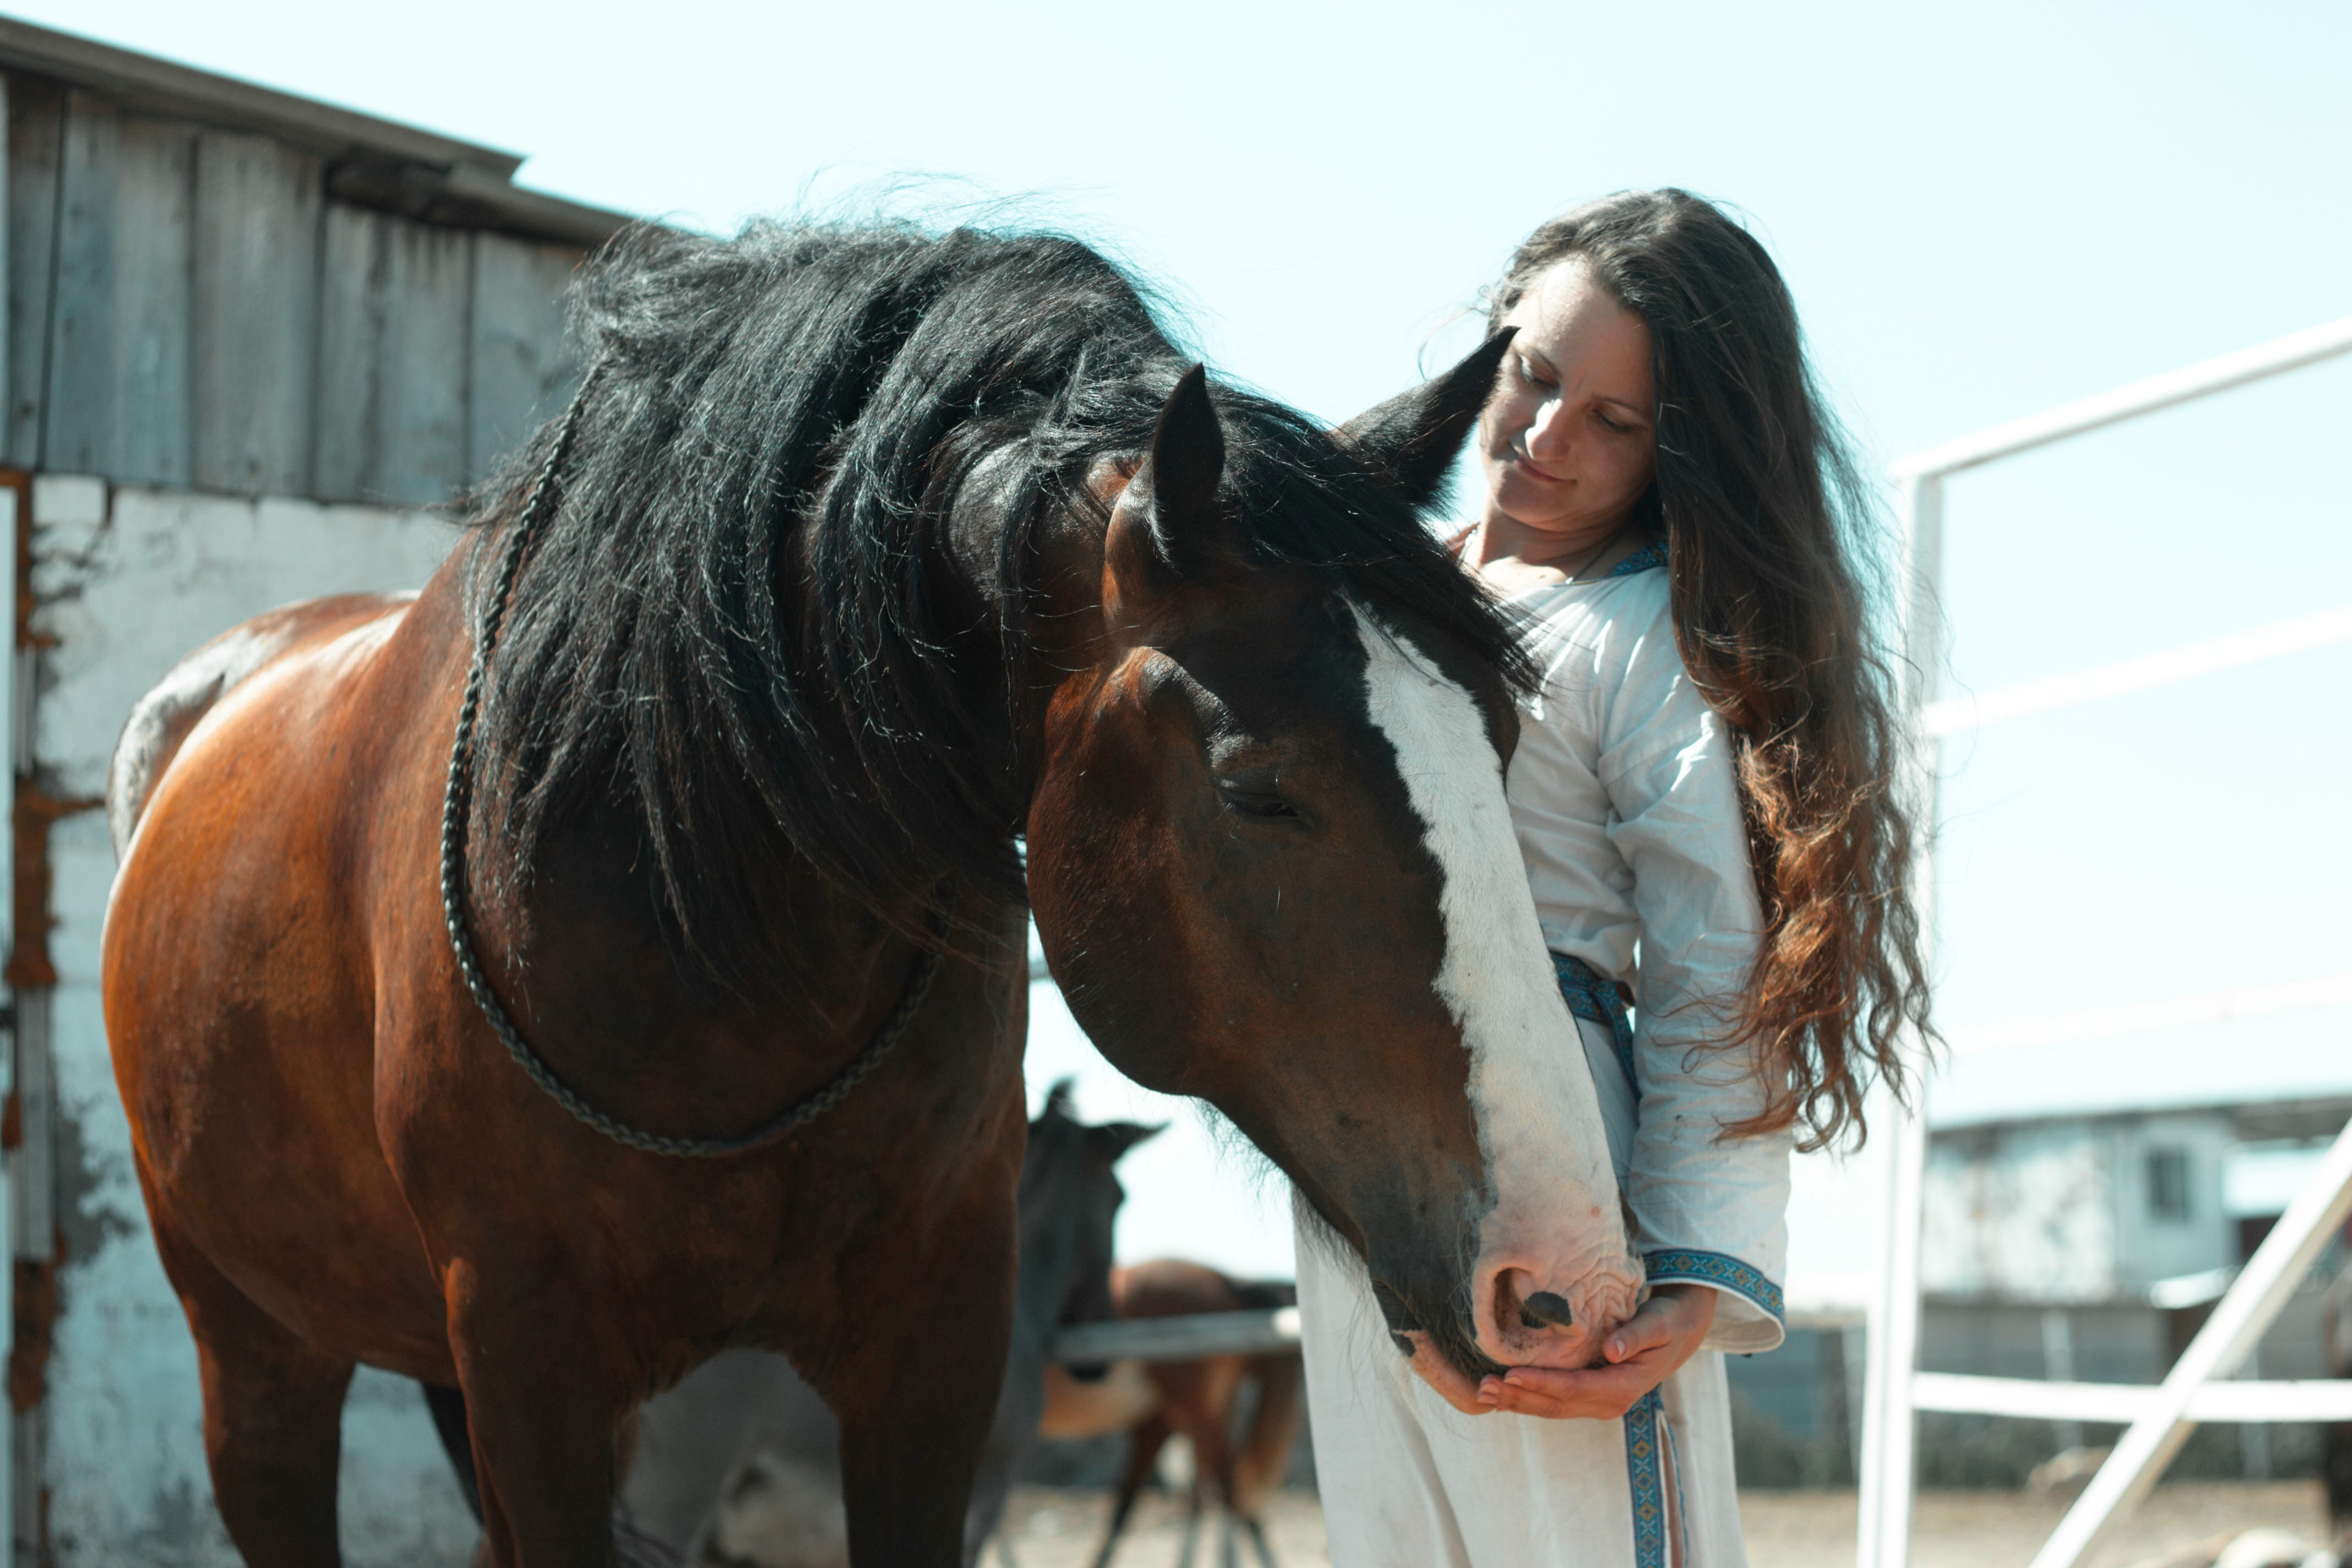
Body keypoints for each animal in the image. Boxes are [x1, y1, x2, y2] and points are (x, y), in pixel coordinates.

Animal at [101, 223, 1646, 1568]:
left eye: (1500, 742)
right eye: (1256, 786)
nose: (1564, 1273)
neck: (713, 934)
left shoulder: (932, 1350)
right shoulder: (534, 1362)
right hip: (259, 1346)